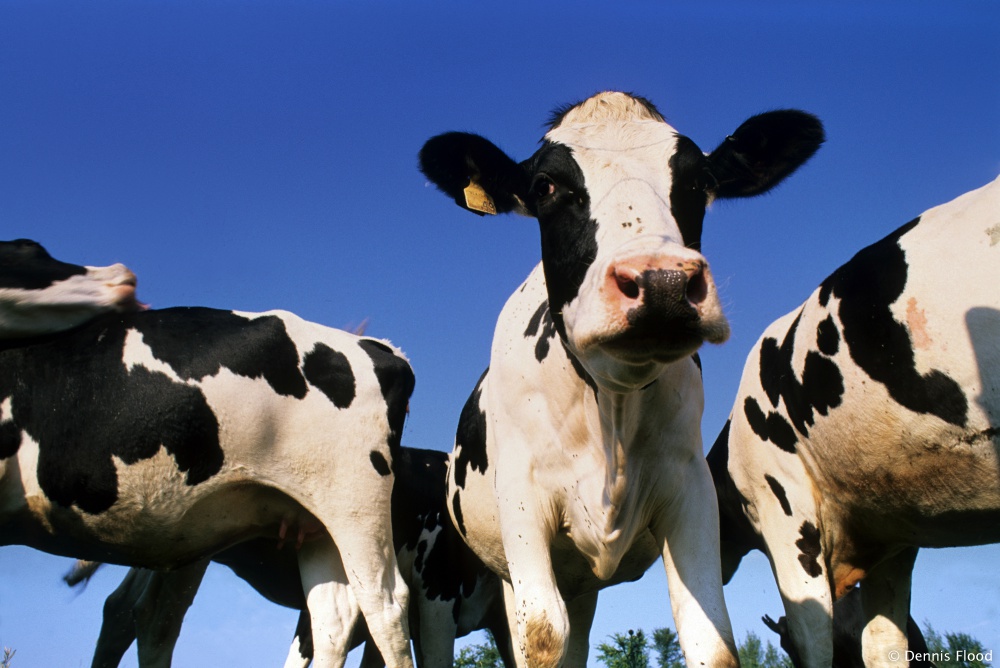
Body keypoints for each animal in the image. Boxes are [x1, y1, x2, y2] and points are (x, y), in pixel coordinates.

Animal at [418, 91, 824, 668]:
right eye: (545, 186)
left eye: (699, 180)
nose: (662, 283)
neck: (611, 402)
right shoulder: (522, 501)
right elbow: (542, 635)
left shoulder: (690, 490)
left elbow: (712, 643)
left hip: (580, 581)